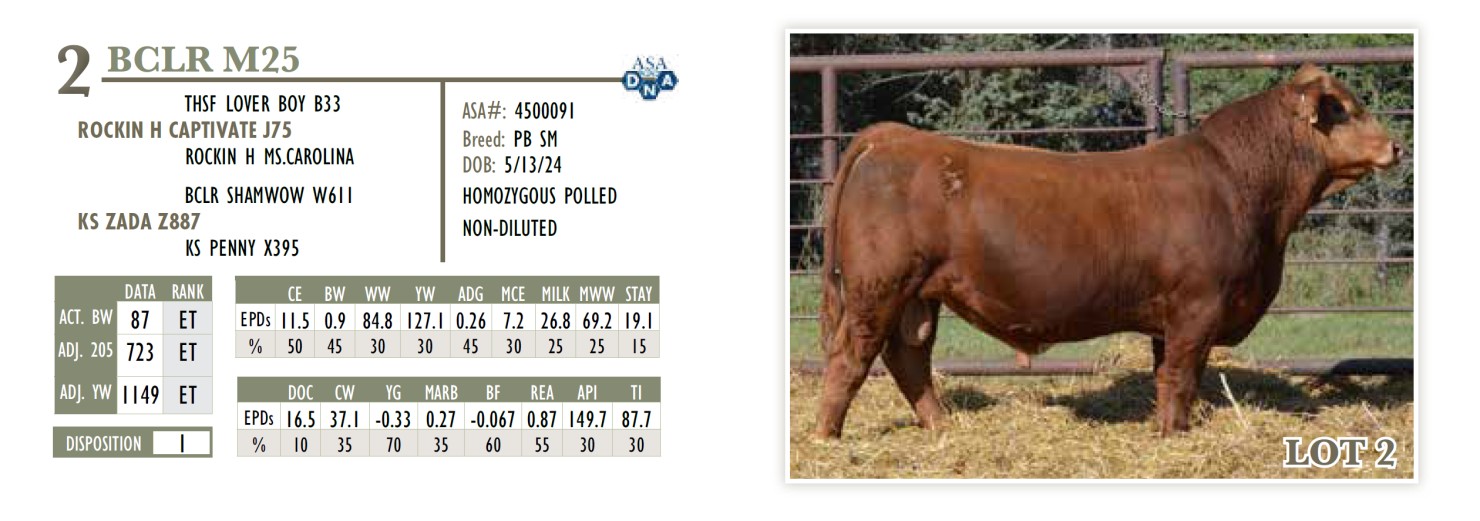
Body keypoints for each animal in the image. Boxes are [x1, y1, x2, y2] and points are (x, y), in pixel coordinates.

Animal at [815, 64, 1402, 437]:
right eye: (1347, 109)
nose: (1396, 146)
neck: (1241, 184)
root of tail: (898, 137)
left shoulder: (1173, 317)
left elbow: (1168, 378)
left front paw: (1169, 431)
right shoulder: (1198, 307)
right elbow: (1182, 377)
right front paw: (1173, 438)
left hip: (918, 295)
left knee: (908, 358)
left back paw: (941, 428)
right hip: (877, 287)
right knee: (851, 358)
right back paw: (827, 437)